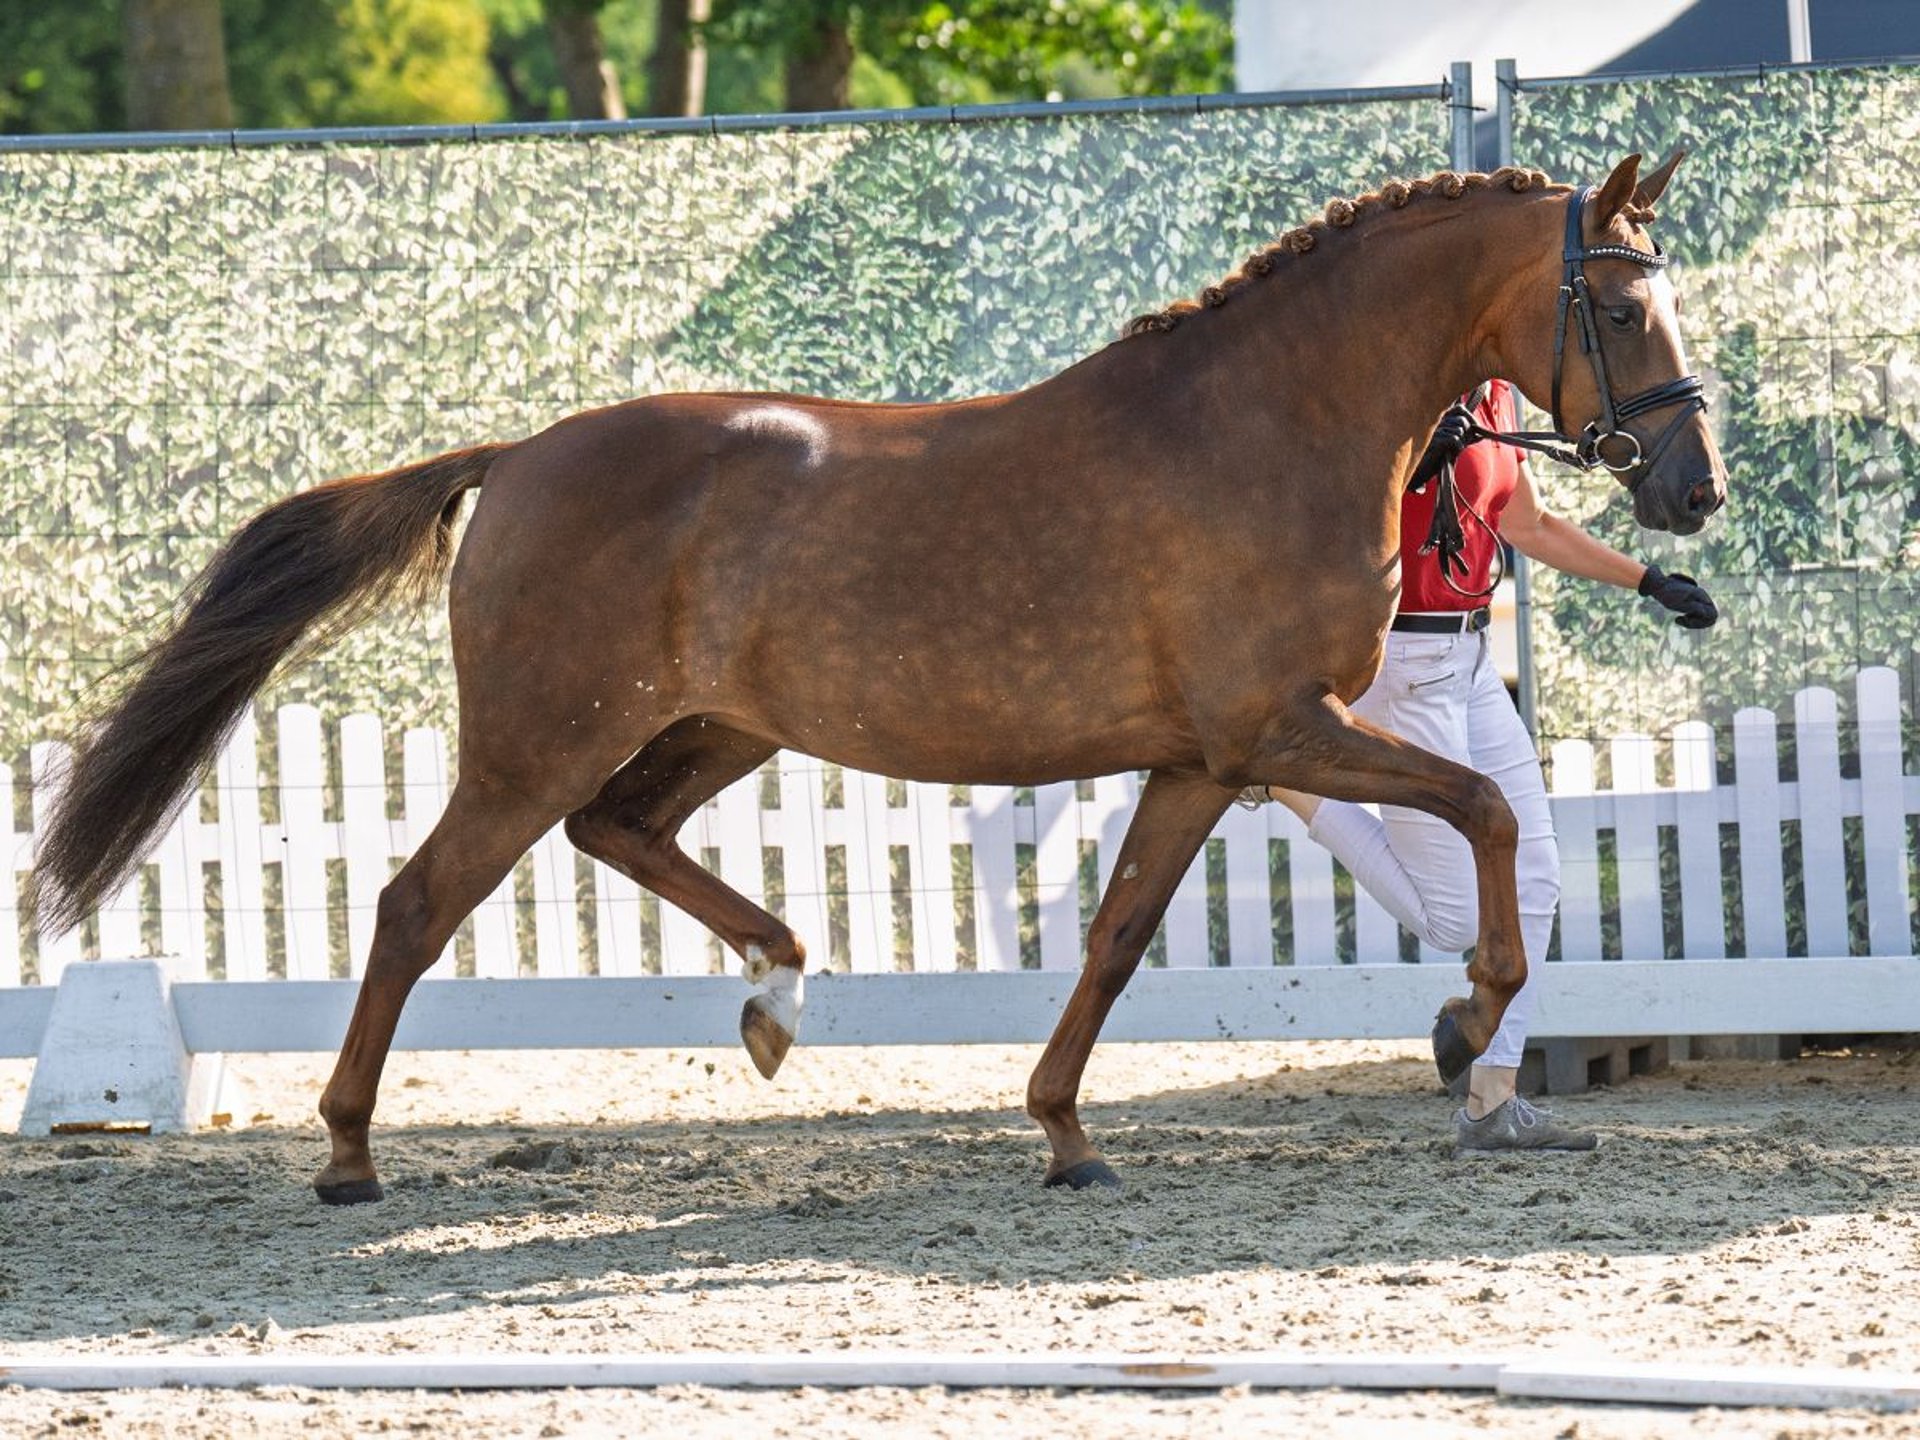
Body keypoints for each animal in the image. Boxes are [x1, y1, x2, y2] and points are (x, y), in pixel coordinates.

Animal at [34, 151, 1726, 1203]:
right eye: (1618, 302)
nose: (1692, 492)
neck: (1265, 424)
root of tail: (518, 456)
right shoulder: (1282, 731)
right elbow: (1487, 816)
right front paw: (1470, 1011)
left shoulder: (1204, 760)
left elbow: (1116, 938)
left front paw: (1066, 1136)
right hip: (533, 744)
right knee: (413, 905)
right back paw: (346, 1157)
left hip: (707, 727)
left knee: (620, 832)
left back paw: (779, 994)